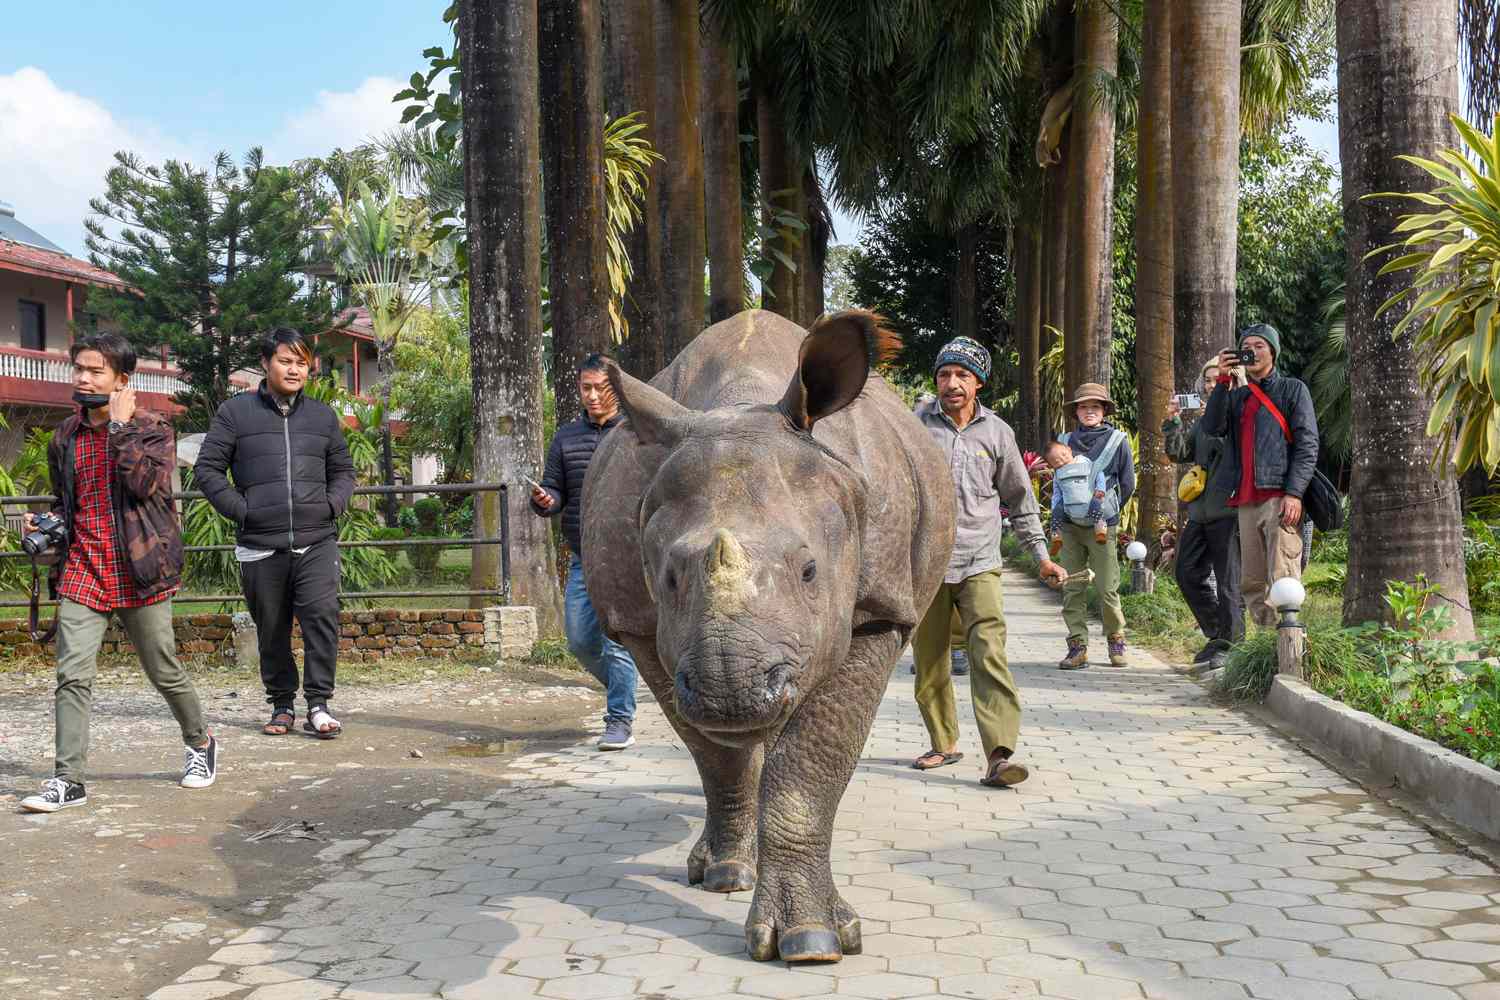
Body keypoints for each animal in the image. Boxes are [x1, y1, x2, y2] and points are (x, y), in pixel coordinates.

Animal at [581, 309, 955, 963]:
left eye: (809, 571)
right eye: (669, 577)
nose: (731, 689)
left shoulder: (880, 609)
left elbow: (813, 758)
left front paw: (812, 943)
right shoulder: (641, 626)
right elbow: (715, 754)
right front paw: (729, 876)